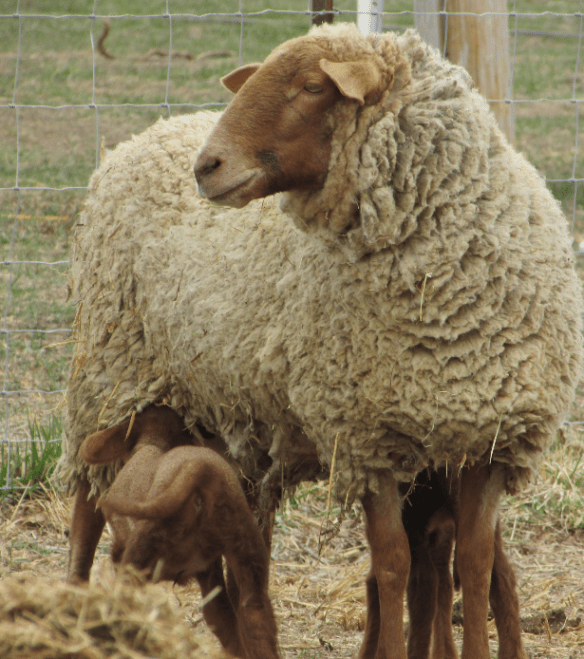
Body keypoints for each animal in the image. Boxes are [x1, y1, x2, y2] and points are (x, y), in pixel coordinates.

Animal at [77, 405, 279, 659]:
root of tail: (200, 471)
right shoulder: (208, 572)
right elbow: (223, 623)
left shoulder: (124, 547)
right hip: (248, 556)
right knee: (255, 618)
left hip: (140, 553)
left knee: (123, 603)